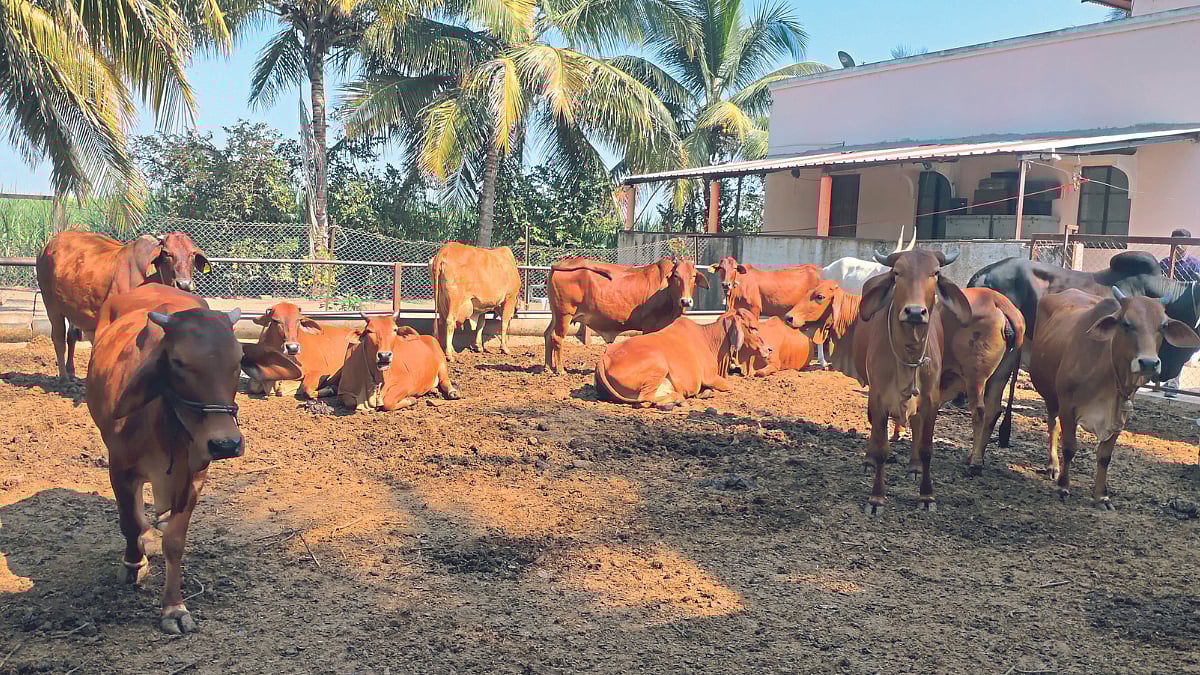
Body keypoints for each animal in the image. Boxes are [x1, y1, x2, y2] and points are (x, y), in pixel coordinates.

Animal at [37, 231, 209, 380]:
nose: (184, 284)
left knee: (71, 335)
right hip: (50, 303)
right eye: (167, 253)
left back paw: (71, 372)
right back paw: (63, 377)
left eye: (193, 254)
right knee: (58, 337)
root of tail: (49, 244)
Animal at [86, 285, 300, 633]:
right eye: (177, 362)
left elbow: (175, 541)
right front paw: (133, 562)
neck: (165, 424)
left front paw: (173, 608)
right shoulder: (120, 468)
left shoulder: (194, 476)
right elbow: (129, 522)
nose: (226, 443)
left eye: (238, 360)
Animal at [544, 256, 708, 374]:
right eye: (676, 276)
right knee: (557, 337)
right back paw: (560, 370)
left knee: (548, 334)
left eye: (693, 276)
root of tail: (559, 265)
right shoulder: (649, 324)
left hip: (556, 314)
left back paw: (548, 367)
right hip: (565, 313)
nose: (686, 301)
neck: (667, 292)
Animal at [593, 309, 770, 408]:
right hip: (658, 364)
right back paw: (679, 400)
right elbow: (730, 388)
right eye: (752, 327)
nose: (769, 349)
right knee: (645, 399)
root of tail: (605, 357)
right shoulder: (710, 377)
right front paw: (707, 393)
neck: (709, 340)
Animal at [1029, 286, 1200, 509]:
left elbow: (1105, 456)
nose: (1149, 363)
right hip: (1051, 396)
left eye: (1163, 326)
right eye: (1126, 324)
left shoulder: (1121, 415)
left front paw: (1101, 496)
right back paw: (1052, 466)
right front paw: (1063, 487)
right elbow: (1069, 448)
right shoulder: (1068, 407)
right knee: (1053, 426)